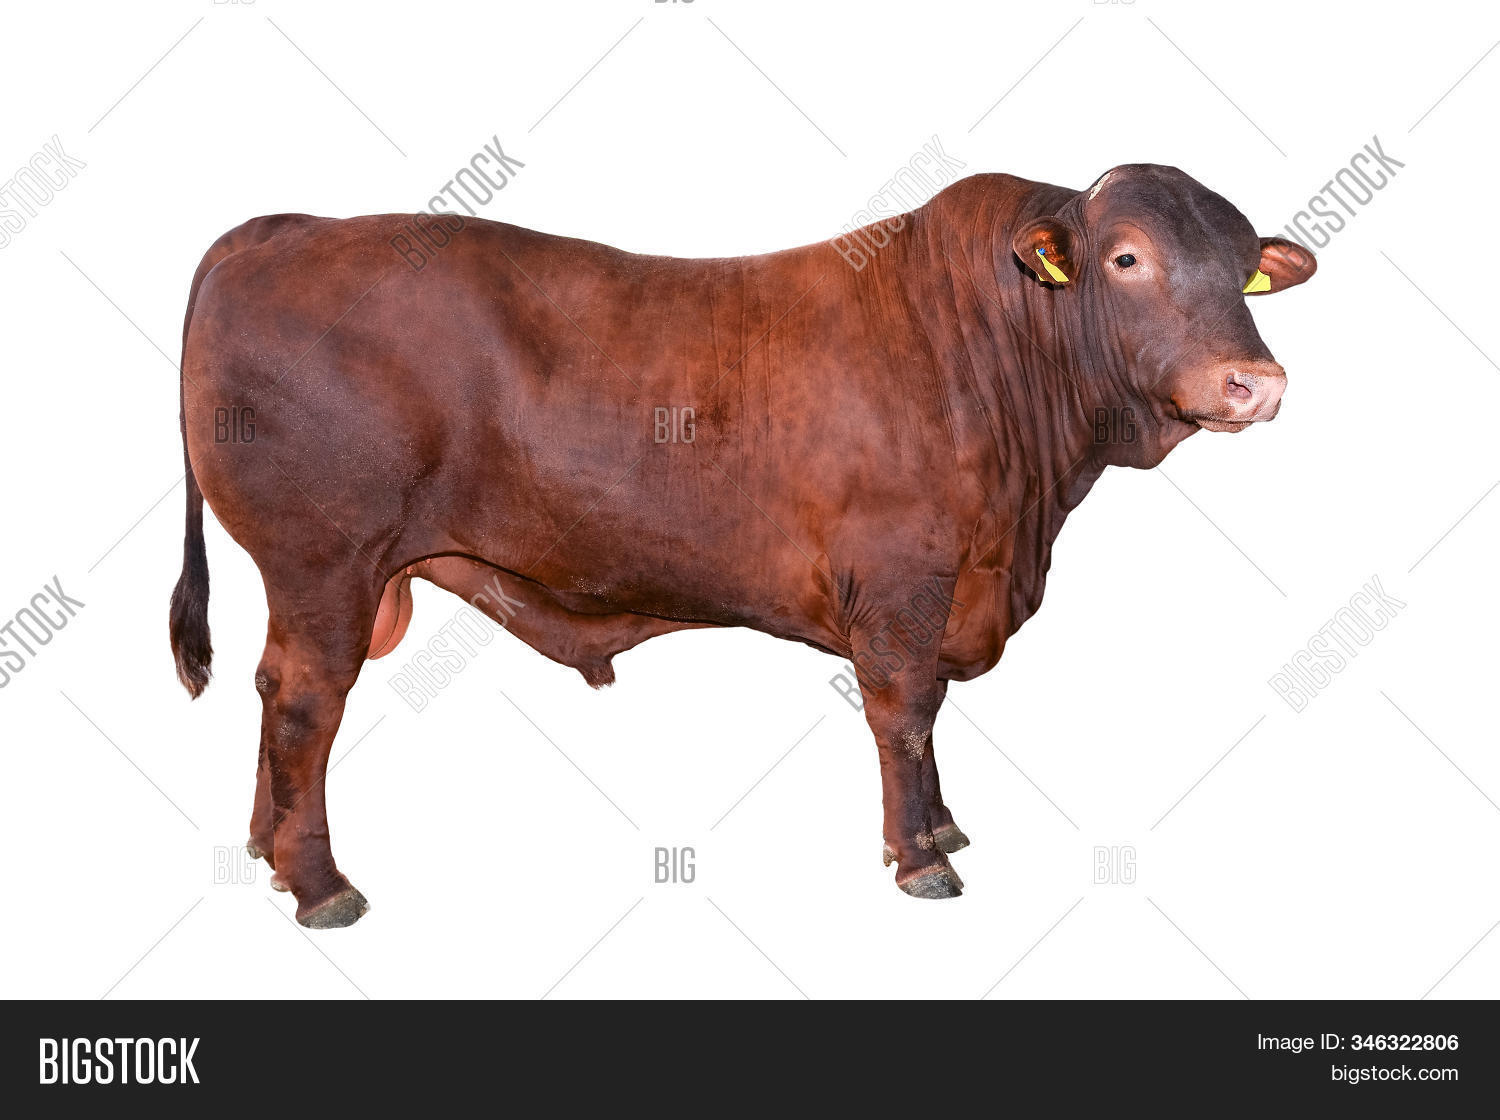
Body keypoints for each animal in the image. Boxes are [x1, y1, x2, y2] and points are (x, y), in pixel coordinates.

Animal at [170, 164, 1315, 927]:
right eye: (1128, 258)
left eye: (1243, 269)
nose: (1254, 384)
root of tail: (282, 227)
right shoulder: (900, 587)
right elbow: (904, 714)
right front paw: (920, 859)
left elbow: (930, 720)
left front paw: (944, 826)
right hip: (325, 560)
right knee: (307, 700)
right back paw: (320, 882)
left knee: (275, 689)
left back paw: (266, 849)